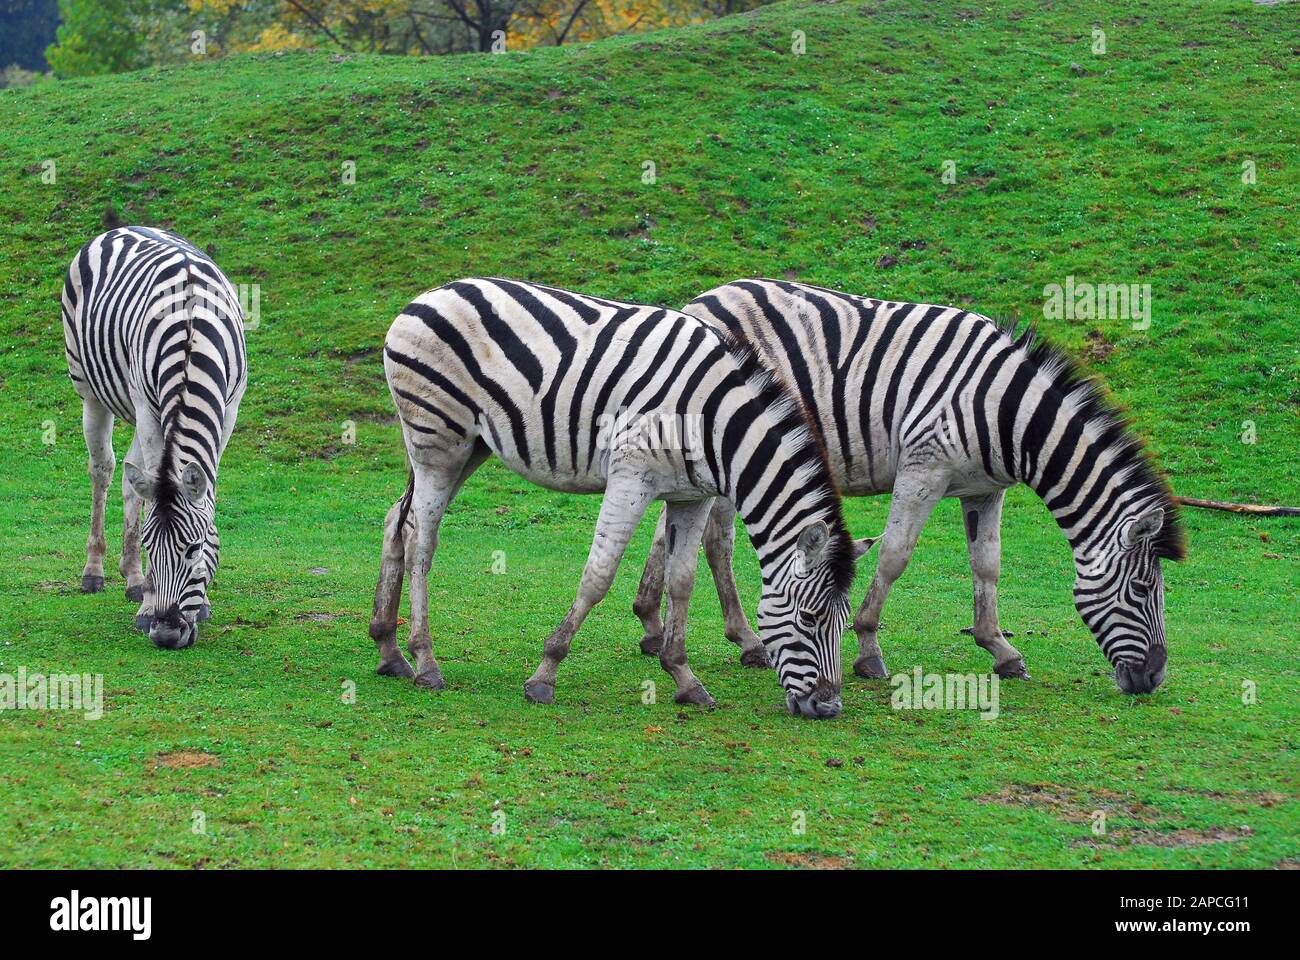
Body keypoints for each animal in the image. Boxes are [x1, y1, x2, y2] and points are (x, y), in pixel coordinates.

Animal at [62, 227, 247, 649]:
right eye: (151, 546)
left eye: (194, 548)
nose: (165, 634)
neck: (192, 330)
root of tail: (119, 228)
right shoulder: (148, 407)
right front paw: (147, 606)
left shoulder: (230, 406)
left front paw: (199, 600)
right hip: (90, 389)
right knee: (103, 469)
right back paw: (95, 571)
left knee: (132, 478)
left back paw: (131, 578)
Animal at [368, 278, 876, 717]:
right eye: (809, 619)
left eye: (844, 623)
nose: (829, 708)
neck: (714, 422)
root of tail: (431, 293)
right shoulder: (630, 479)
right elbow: (598, 576)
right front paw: (545, 674)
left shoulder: (693, 496)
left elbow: (682, 581)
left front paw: (684, 678)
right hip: (438, 442)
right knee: (421, 541)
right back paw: (425, 662)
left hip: (469, 446)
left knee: (398, 520)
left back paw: (389, 651)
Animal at [633, 279, 1186, 694]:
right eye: (1143, 590)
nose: (1155, 677)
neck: (1009, 414)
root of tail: (702, 300)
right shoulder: (923, 469)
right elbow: (895, 556)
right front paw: (868, 647)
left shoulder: (985, 489)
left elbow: (987, 565)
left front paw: (1000, 649)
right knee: (716, 540)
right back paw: (744, 640)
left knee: (675, 531)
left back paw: (652, 623)